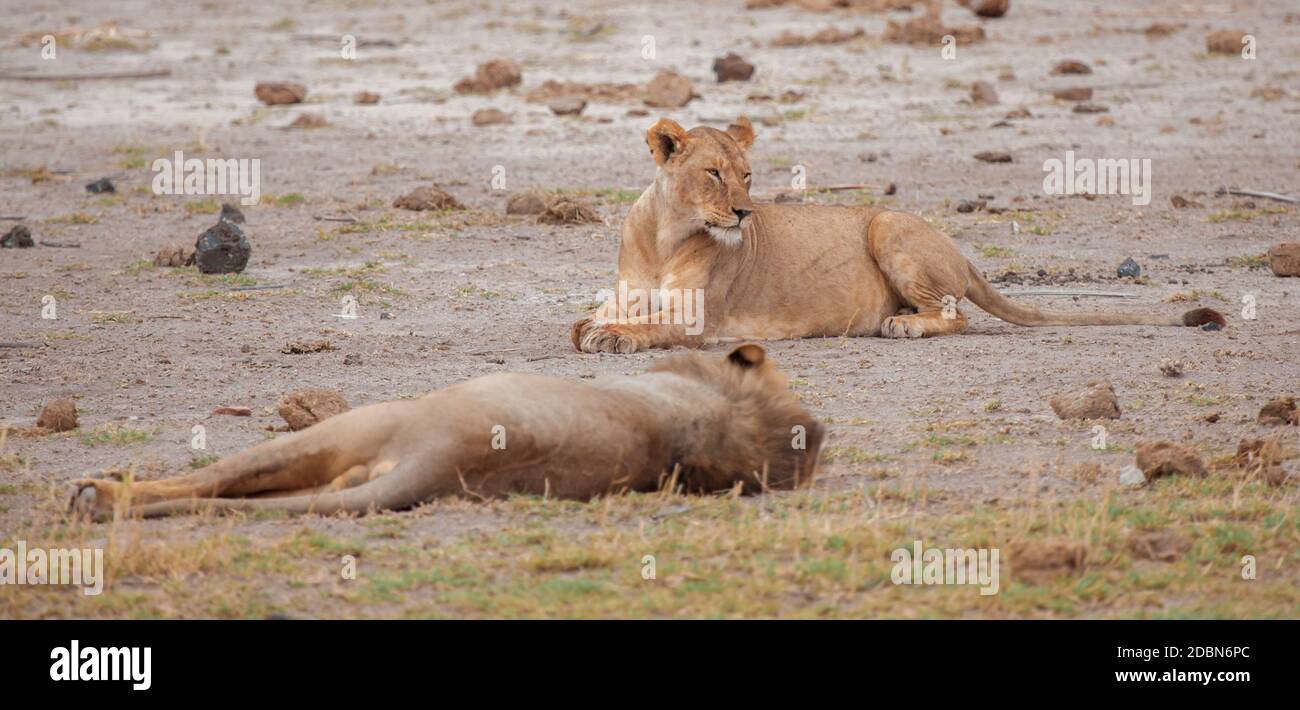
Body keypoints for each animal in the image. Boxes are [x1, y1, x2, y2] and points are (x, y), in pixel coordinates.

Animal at [571, 116, 1225, 353]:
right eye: (713, 173)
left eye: (747, 175)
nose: (744, 213)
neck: (668, 232)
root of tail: (961, 252)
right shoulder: (631, 289)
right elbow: (598, 314)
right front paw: (593, 326)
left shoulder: (697, 318)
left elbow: (649, 327)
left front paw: (612, 337)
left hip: (888, 225)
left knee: (958, 314)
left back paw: (904, 324)